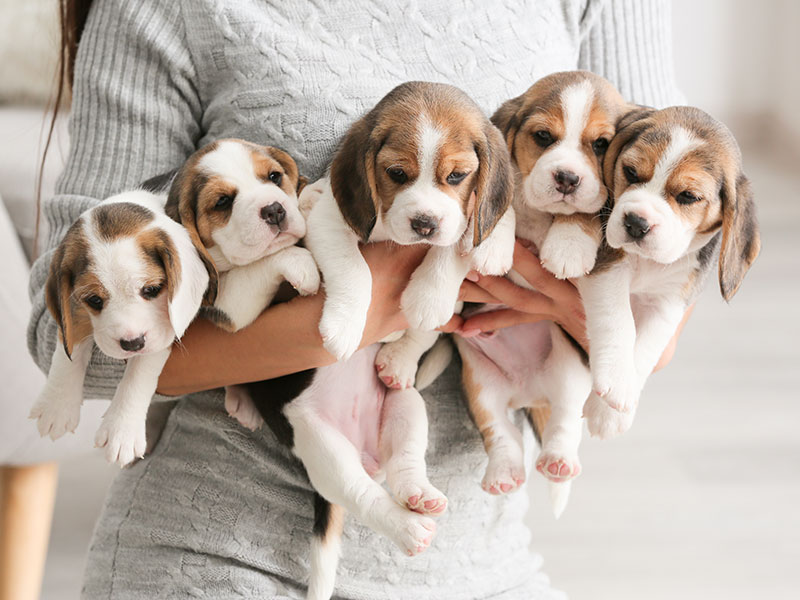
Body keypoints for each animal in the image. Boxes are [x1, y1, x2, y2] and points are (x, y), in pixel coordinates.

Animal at [30, 190, 212, 466]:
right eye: (94, 300)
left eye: (152, 289)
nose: (132, 344)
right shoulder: (74, 309)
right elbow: (69, 342)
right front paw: (57, 403)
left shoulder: (161, 332)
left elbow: (139, 372)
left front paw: (122, 429)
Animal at [450, 71, 632, 516]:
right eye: (544, 136)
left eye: (601, 144)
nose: (566, 178)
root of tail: (526, 390)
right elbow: (501, 204)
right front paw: (493, 246)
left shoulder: (602, 207)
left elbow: (585, 213)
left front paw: (567, 246)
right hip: (479, 384)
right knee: (501, 432)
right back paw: (503, 472)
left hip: (568, 371)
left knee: (563, 422)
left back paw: (559, 461)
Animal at [580, 105, 760, 438]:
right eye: (631, 172)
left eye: (688, 196)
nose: (636, 223)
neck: (648, 262)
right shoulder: (608, 265)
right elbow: (619, 319)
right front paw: (617, 379)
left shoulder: (669, 301)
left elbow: (647, 344)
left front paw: (610, 411)